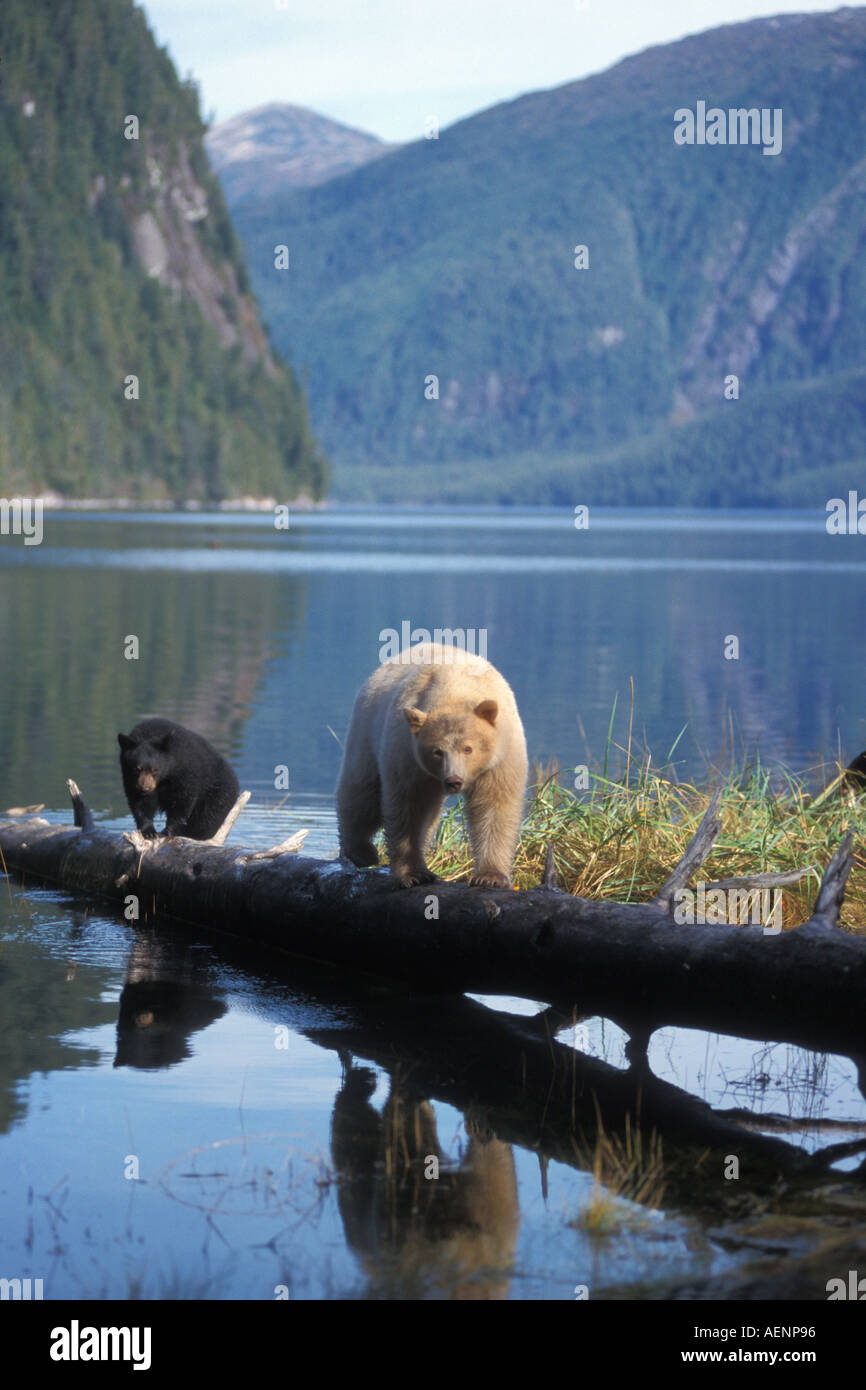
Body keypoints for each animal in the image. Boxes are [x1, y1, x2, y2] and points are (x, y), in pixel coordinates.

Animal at [336, 643, 528, 888]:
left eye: (468, 748)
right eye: (437, 751)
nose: (454, 781)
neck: (456, 688)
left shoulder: (501, 757)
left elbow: (494, 805)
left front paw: (490, 877)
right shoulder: (407, 754)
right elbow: (409, 809)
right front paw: (413, 874)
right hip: (367, 730)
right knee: (363, 792)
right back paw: (360, 851)